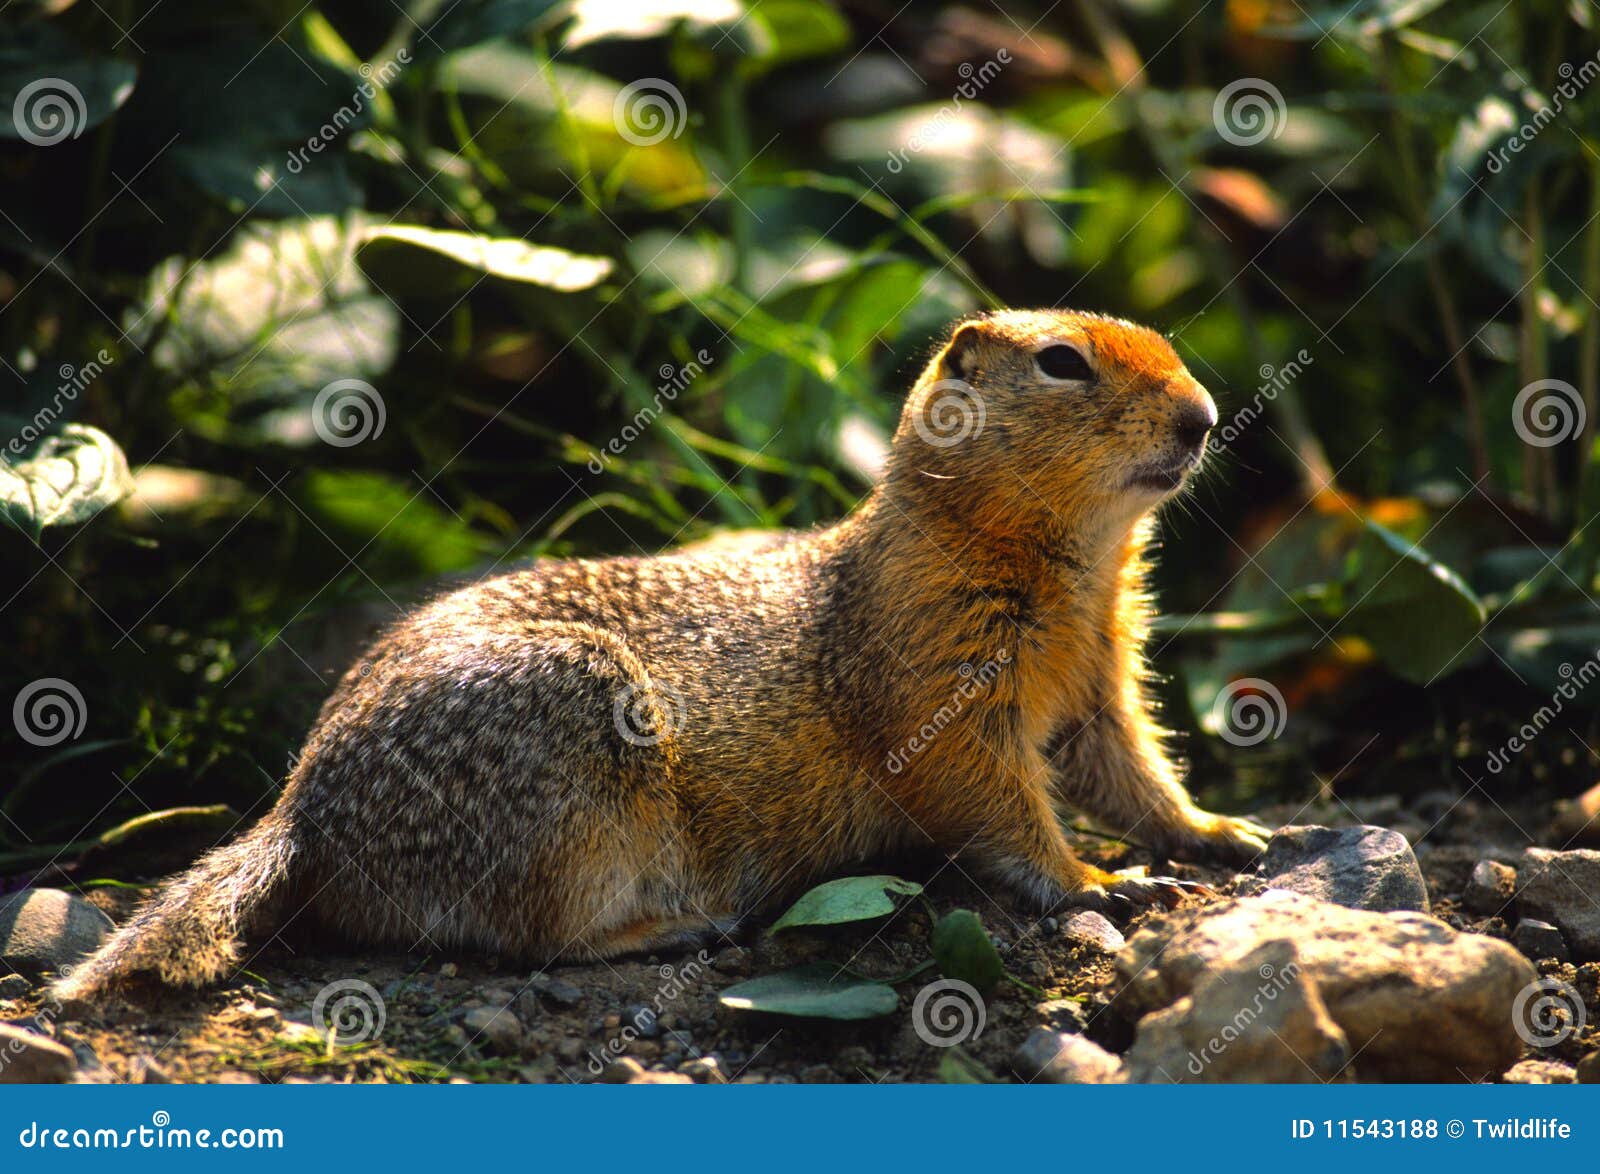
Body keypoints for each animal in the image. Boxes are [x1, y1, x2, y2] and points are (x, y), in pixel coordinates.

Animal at [56, 308, 1270, 1001]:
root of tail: (301, 813)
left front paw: (1219, 830)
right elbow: (998, 803)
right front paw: (1094, 880)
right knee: (536, 941)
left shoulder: (1100, 683)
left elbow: (1133, 770)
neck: (1070, 565)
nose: (1206, 416)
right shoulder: (943, 688)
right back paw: (675, 925)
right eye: (1062, 362)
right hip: (576, 770)